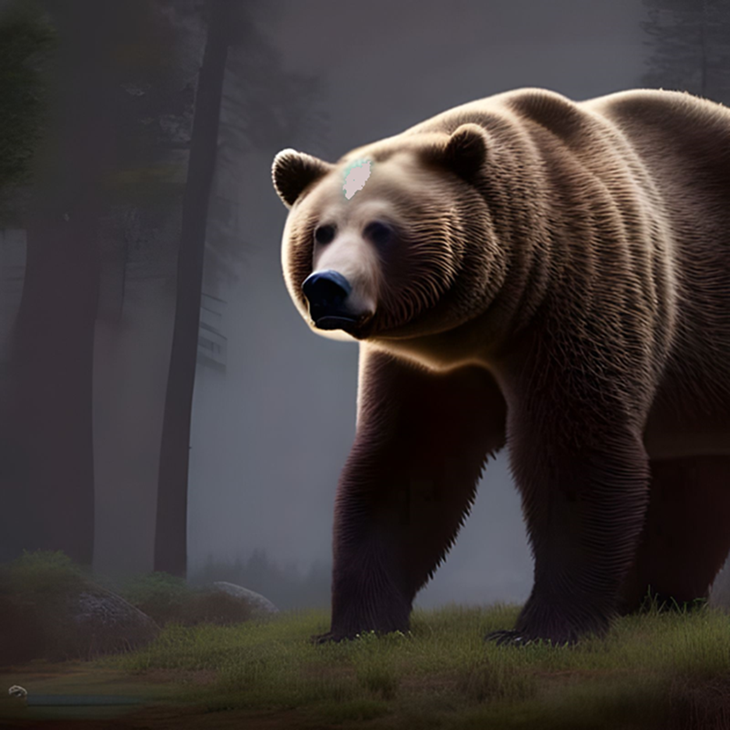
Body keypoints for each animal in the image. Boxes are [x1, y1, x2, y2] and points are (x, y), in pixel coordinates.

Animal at [271, 87, 730, 646]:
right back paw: (657, 600)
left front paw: (542, 628)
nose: (327, 286)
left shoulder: (582, 293)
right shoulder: (424, 360)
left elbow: (574, 451)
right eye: (321, 231)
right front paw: (359, 625)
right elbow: (408, 461)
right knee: (694, 484)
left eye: (380, 229)